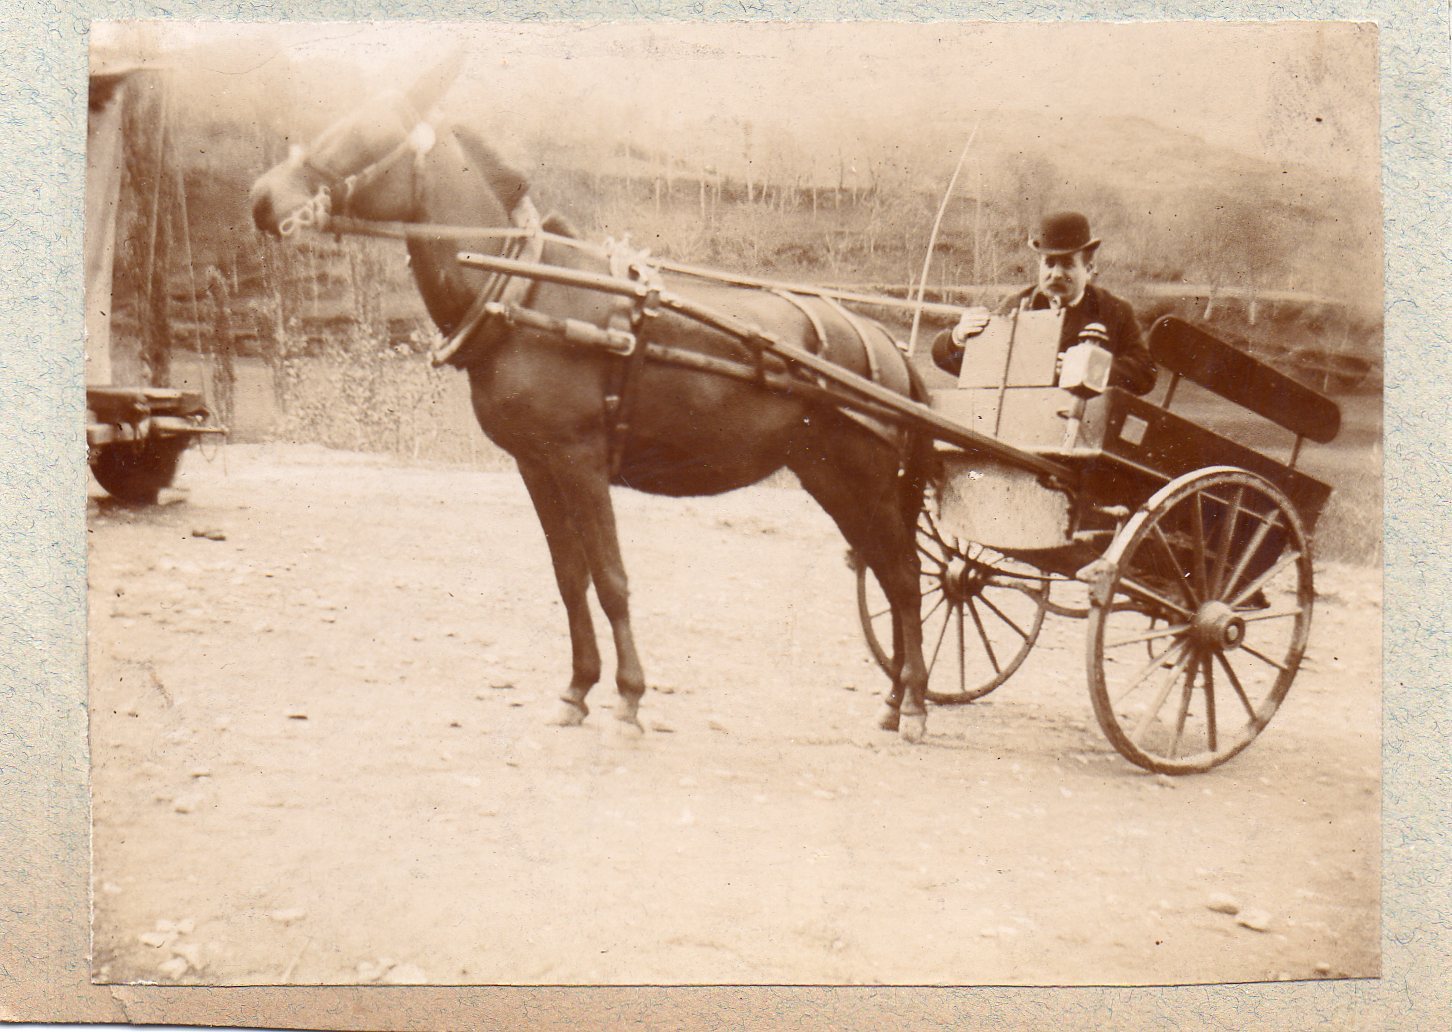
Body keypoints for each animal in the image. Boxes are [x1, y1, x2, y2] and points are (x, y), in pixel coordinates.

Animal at [249, 57, 940, 742]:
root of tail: (884, 341)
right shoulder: (537, 466)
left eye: (366, 132)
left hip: (864, 477)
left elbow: (611, 581)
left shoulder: (579, 461)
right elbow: (570, 579)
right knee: (887, 573)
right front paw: (578, 689)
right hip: (829, 477)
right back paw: (894, 699)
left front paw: (629, 697)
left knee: (906, 579)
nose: (261, 200)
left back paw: (914, 704)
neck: (527, 292)